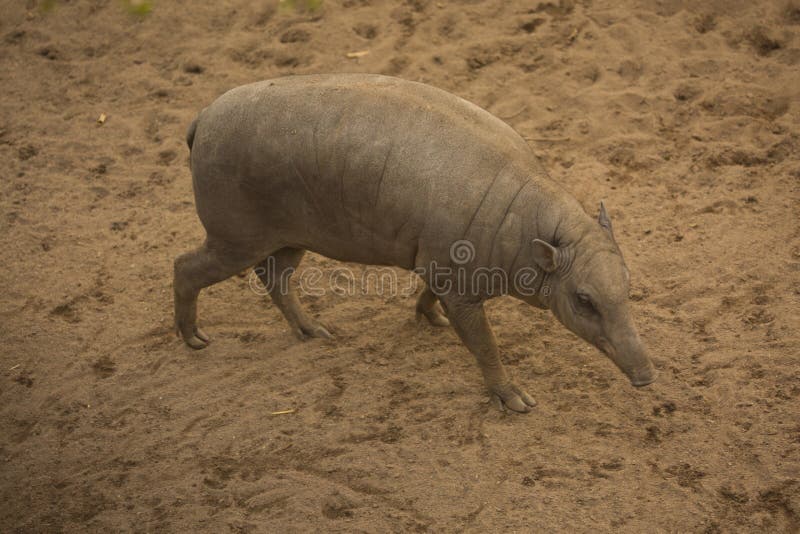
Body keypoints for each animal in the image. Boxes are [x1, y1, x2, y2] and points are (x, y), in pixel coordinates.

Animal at [174, 74, 656, 413]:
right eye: (583, 300)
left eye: (628, 287)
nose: (647, 377)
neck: (521, 226)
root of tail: (201, 118)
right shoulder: (459, 282)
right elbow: (485, 345)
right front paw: (512, 397)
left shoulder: (439, 263)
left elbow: (431, 293)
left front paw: (428, 316)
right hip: (235, 235)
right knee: (185, 266)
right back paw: (191, 337)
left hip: (289, 236)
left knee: (274, 276)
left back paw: (311, 331)